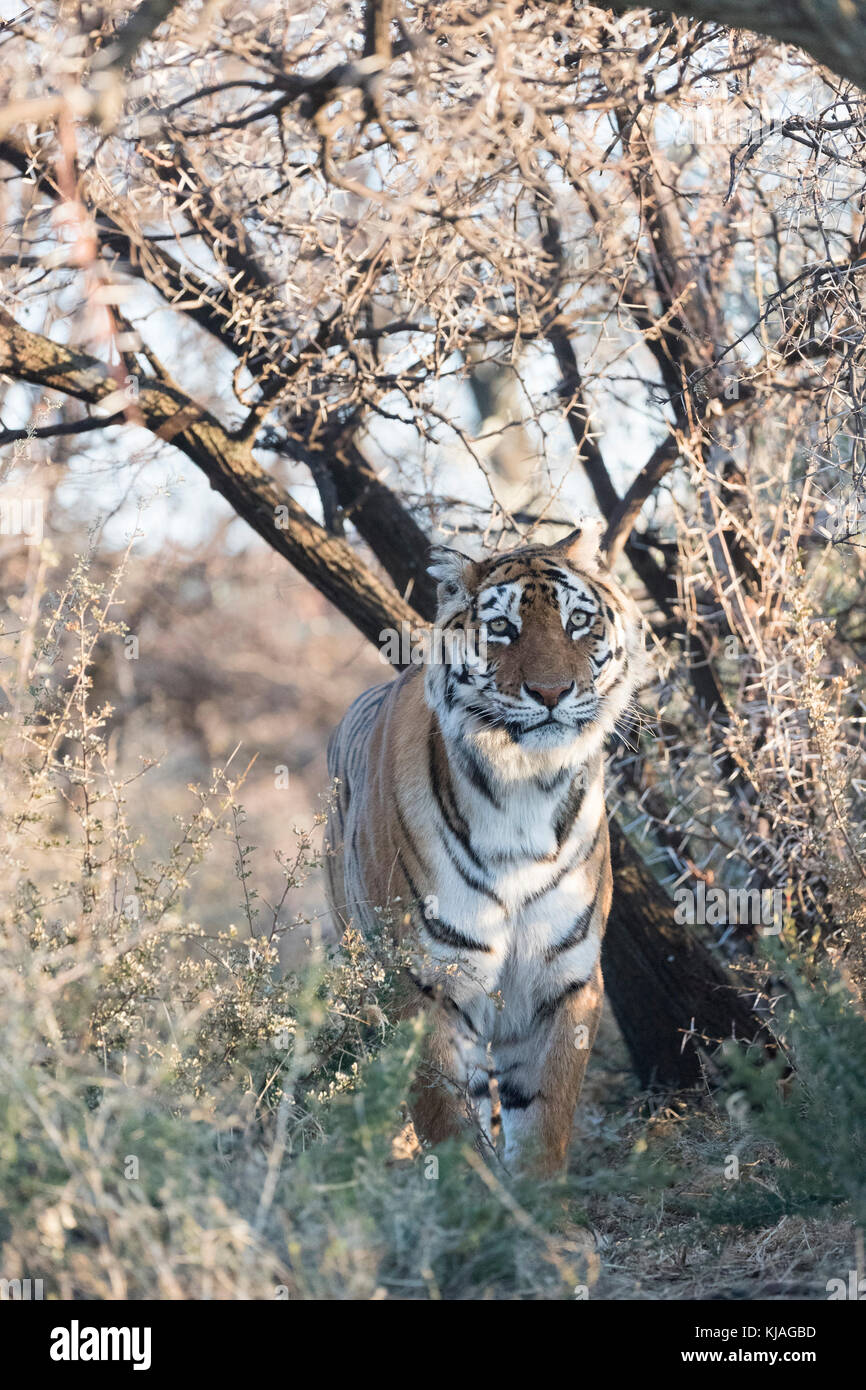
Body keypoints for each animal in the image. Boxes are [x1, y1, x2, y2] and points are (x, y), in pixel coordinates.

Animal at [324, 519, 649, 1175]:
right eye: (502, 628)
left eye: (579, 621)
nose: (551, 691)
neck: (526, 785)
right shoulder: (426, 983)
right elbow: (449, 1126)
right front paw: (472, 1196)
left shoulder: (563, 979)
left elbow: (544, 1119)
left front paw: (535, 1201)